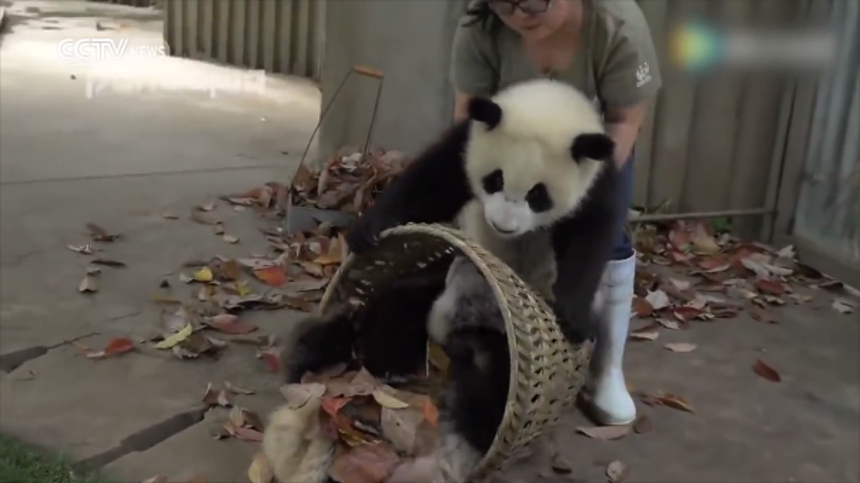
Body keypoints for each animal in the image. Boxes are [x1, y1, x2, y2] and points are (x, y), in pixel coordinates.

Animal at [346, 78, 621, 346]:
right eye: (495, 179)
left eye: (537, 195)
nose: (503, 226)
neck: (551, 103)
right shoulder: (465, 144)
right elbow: (432, 184)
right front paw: (367, 230)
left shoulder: (596, 182)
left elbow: (589, 239)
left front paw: (573, 319)